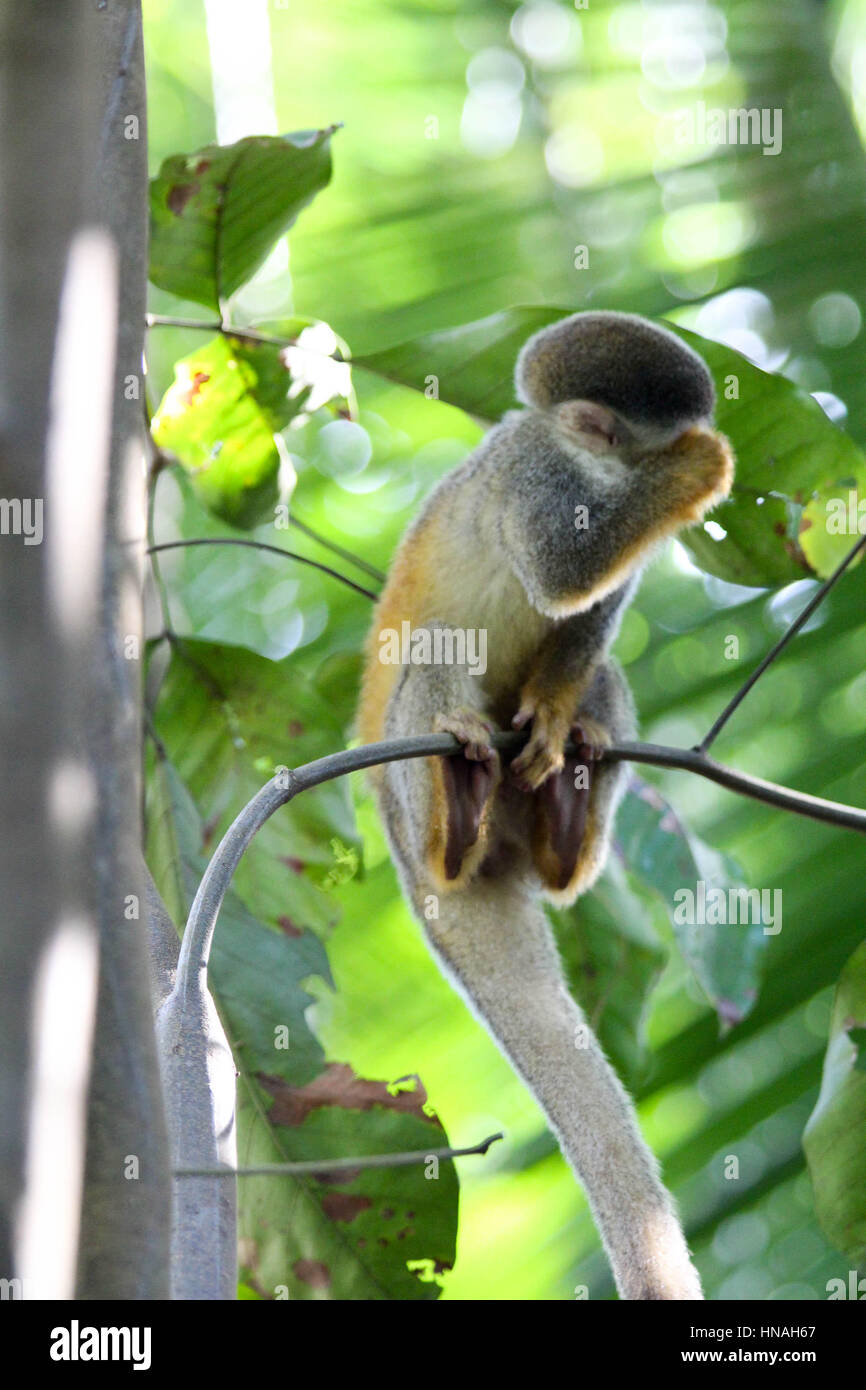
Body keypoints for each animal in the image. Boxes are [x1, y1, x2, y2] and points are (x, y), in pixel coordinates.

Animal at [357, 311, 734, 1300]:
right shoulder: (538, 468)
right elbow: (563, 570)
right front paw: (695, 468)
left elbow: (584, 619)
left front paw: (560, 712)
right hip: (408, 799)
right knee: (433, 662)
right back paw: (457, 807)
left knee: (599, 677)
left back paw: (566, 817)